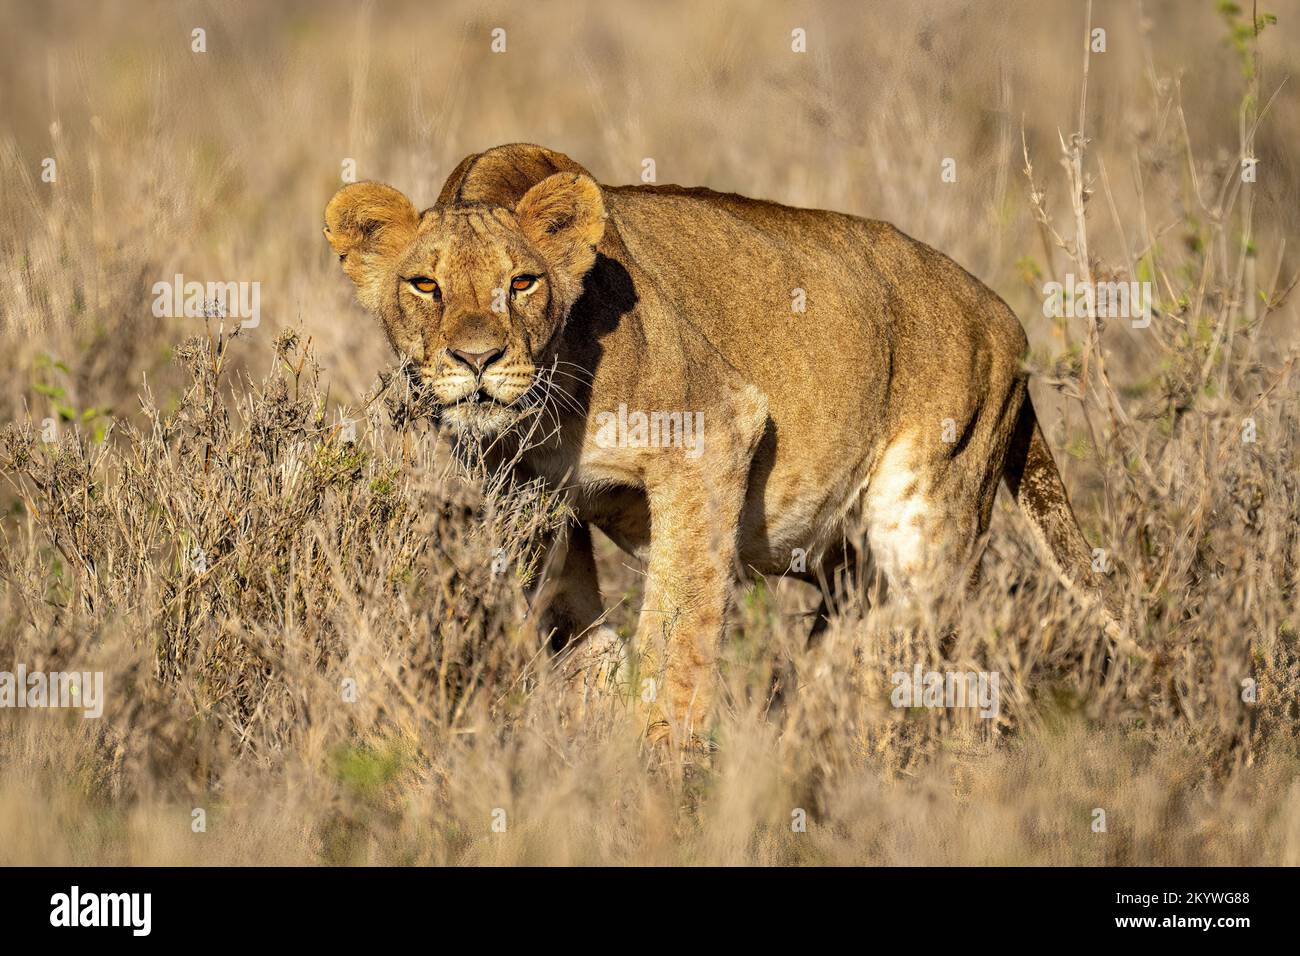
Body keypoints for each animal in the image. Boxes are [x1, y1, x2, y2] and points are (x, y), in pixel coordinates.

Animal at [325, 143, 1123, 746]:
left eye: (521, 282)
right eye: (424, 285)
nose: (477, 358)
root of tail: (1003, 315)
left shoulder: (712, 432)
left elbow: (677, 619)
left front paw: (659, 757)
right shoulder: (524, 495)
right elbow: (571, 629)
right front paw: (600, 723)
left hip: (932, 503)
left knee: (937, 620)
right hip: (841, 552)